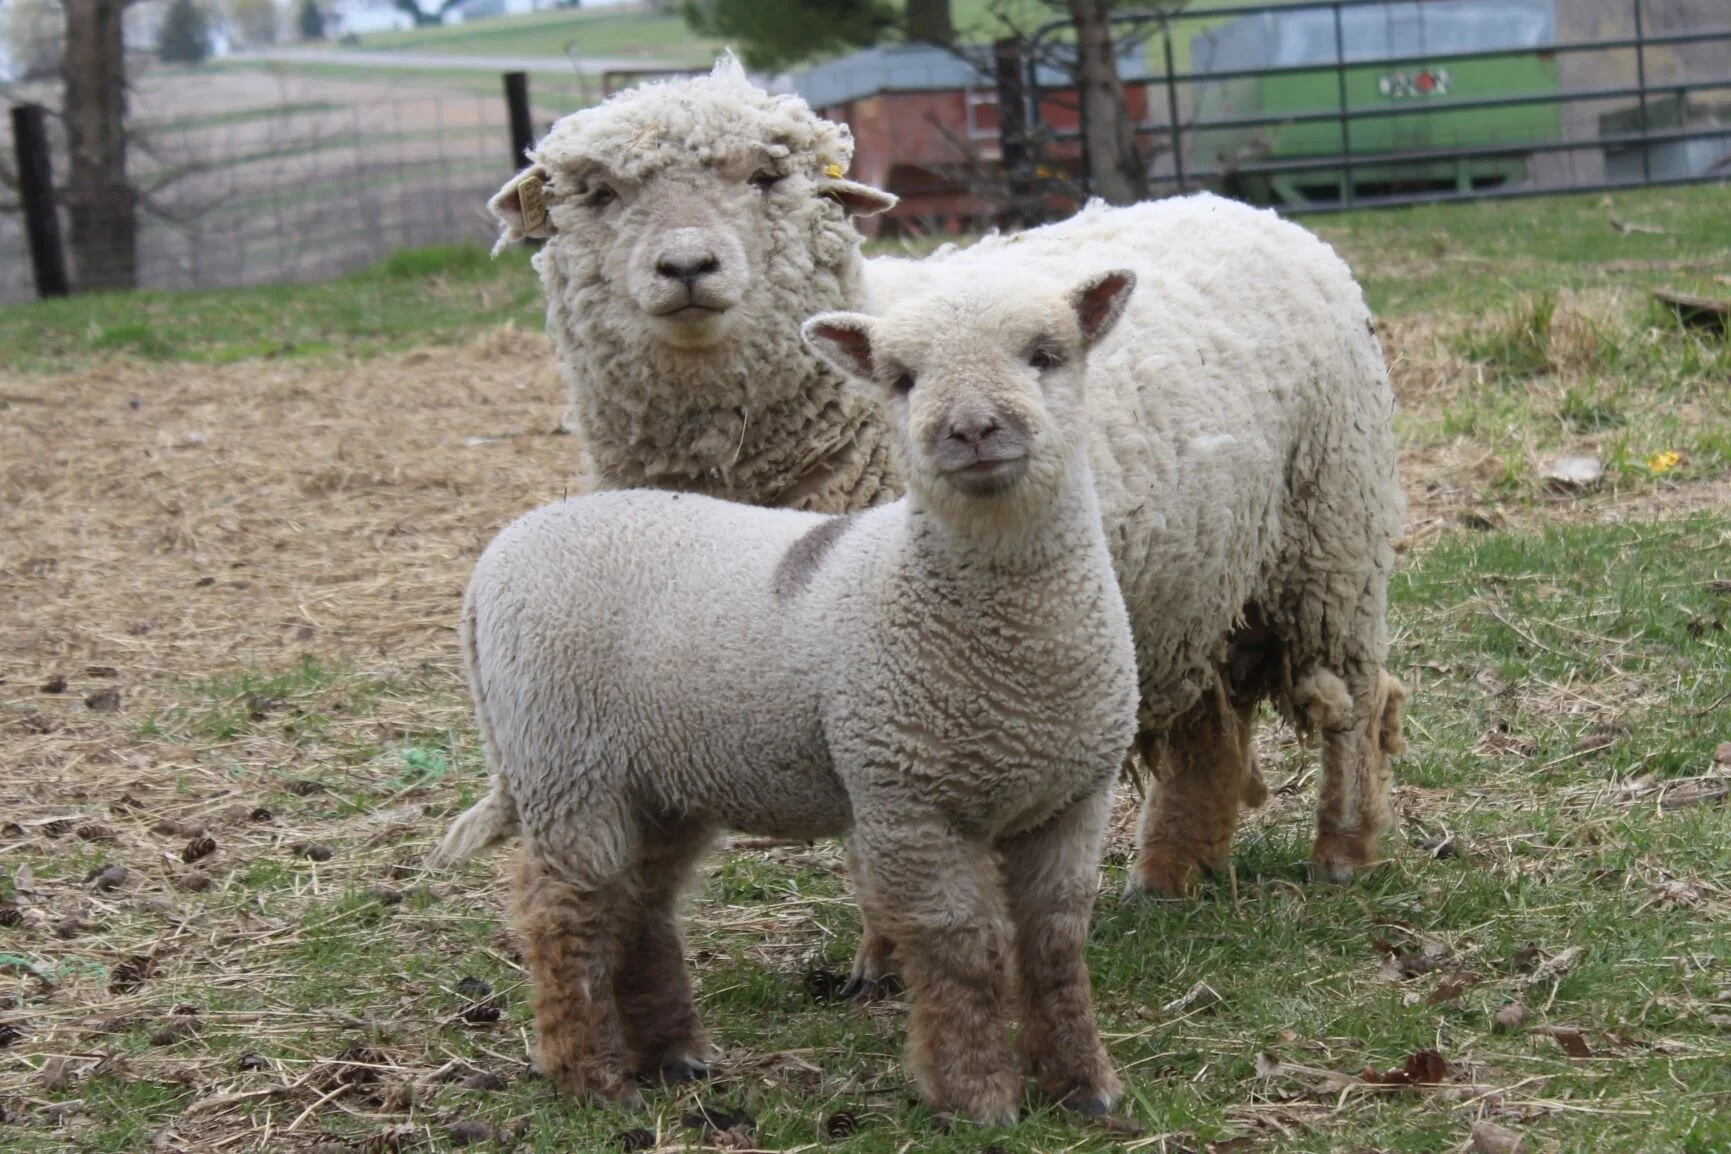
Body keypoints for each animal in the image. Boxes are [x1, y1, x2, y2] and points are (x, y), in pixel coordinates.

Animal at [431, 268, 1143, 1125]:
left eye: (1045, 354)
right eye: (900, 380)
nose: (971, 430)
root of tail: (497, 559)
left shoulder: (1073, 797)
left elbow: (1055, 944)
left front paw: (1083, 1087)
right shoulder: (906, 801)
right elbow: (959, 949)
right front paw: (975, 1096)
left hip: (657, 779)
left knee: (638, 904)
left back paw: (672, 1056)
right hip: (563, 760)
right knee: (564, 910)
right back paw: (590, 1076)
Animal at [485, 58, 1406, 978]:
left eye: (767, 178)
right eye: (598, 193)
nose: (686, 266)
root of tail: (1240, 207)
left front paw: (901, 954)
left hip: (1331, 531)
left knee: (1356, 696)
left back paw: (1342, 851)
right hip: (1198, 576)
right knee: (1206, 727)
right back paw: (1172, 872)